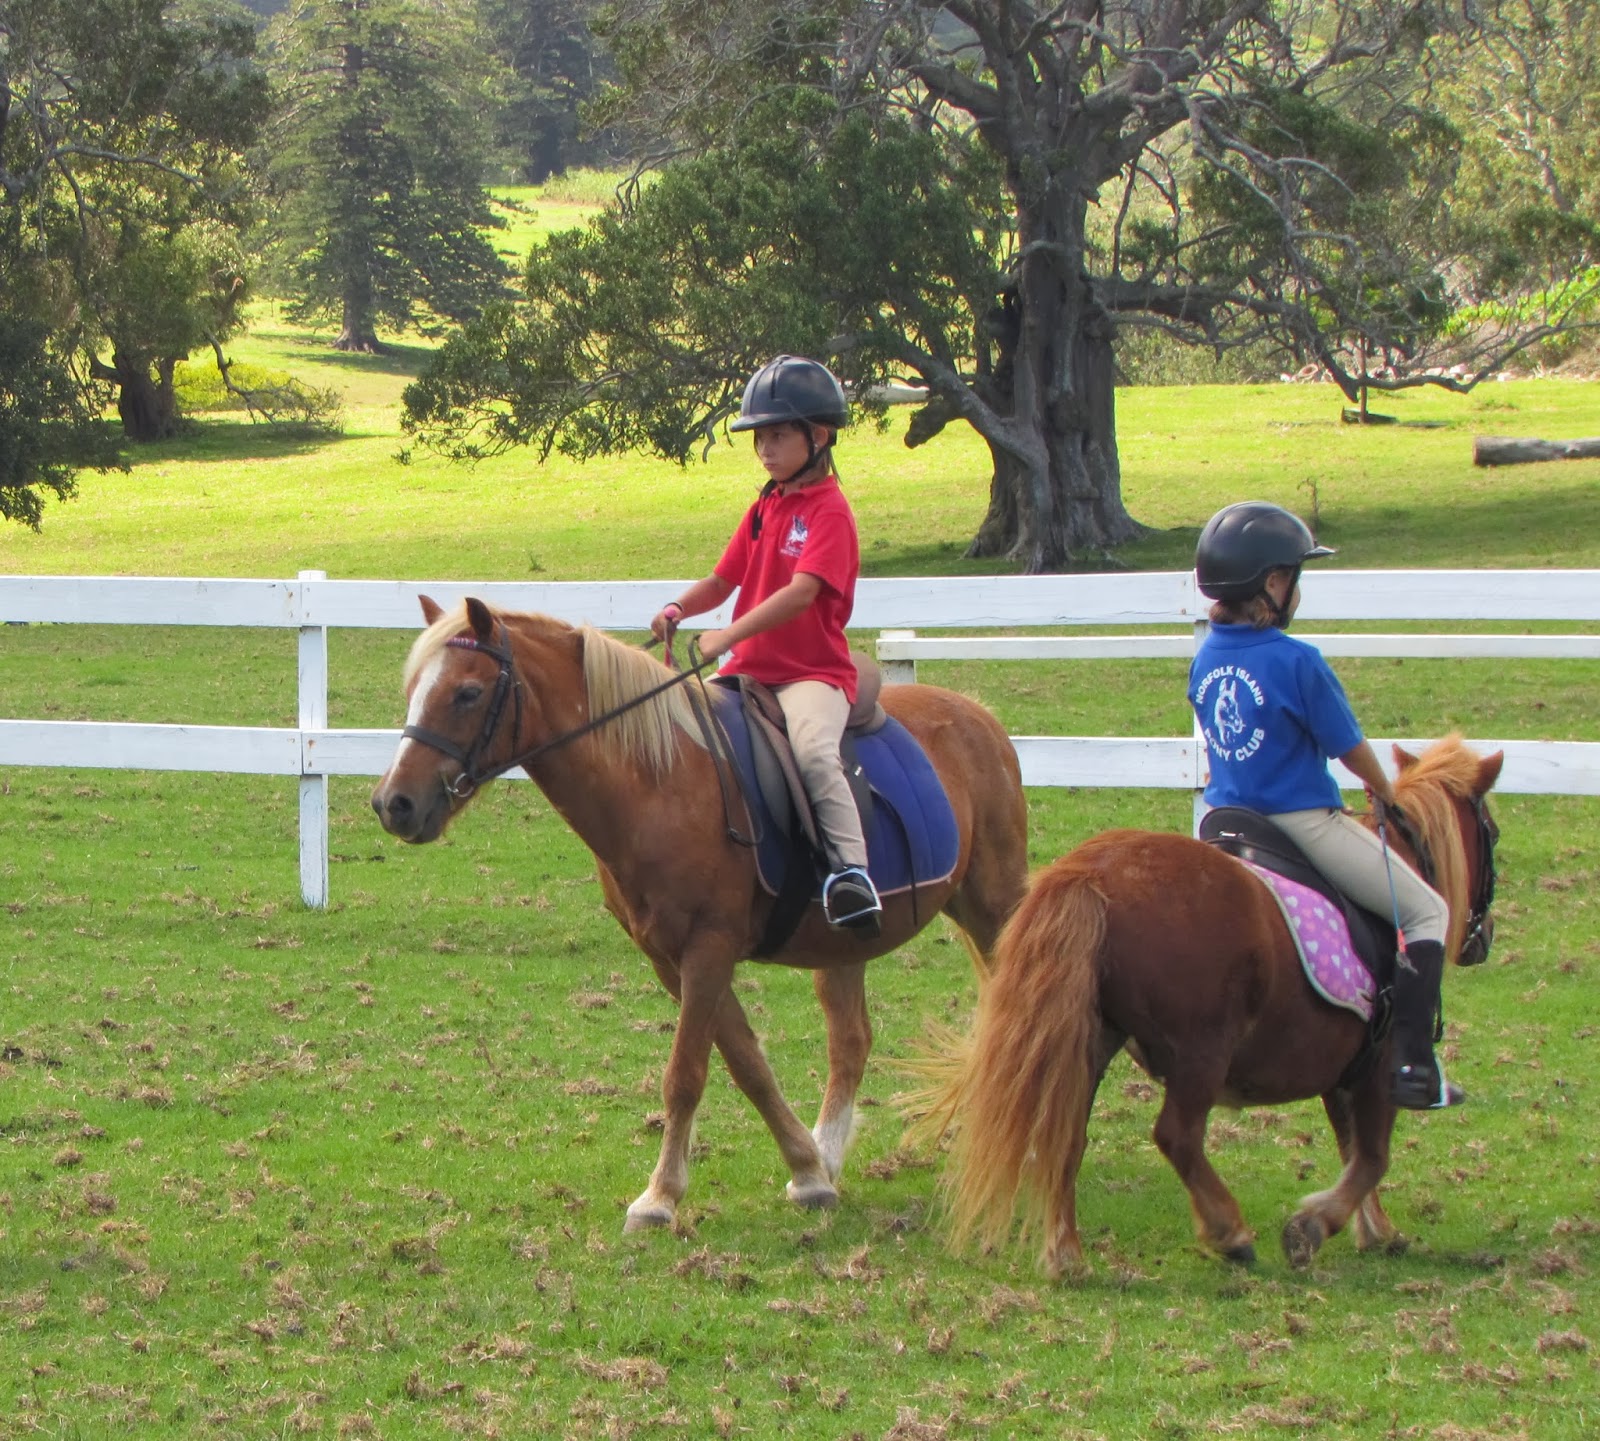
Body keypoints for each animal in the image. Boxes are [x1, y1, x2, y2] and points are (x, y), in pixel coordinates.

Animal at [371, 596, 1030, 1232]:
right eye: (414, 689)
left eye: (468, 692)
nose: (393, 804)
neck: (658, 780)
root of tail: (979, 716)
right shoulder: (671, 958)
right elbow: (746, 1064)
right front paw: (807, 1172)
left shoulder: (708, 948)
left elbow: (685, 1074)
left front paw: (659, 1197)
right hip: (843, 945)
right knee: (850, 1042)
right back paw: (829, 1152)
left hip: (994, 908)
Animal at [904, 735, 1503, 1276]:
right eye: (1492, 832)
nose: (1483, 937)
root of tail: (1092, 872)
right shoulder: (1378, 1067)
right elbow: (1373, 1156)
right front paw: (1313, 1227)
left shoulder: (1346, 1070)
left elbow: (1352, 1147)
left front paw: (1374, 1230)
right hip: (1200, 1053)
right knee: (1177, 1136)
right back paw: (1227, 1231)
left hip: (1090, 1040)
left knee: (1065, 1131)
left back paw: (1065, 1256)